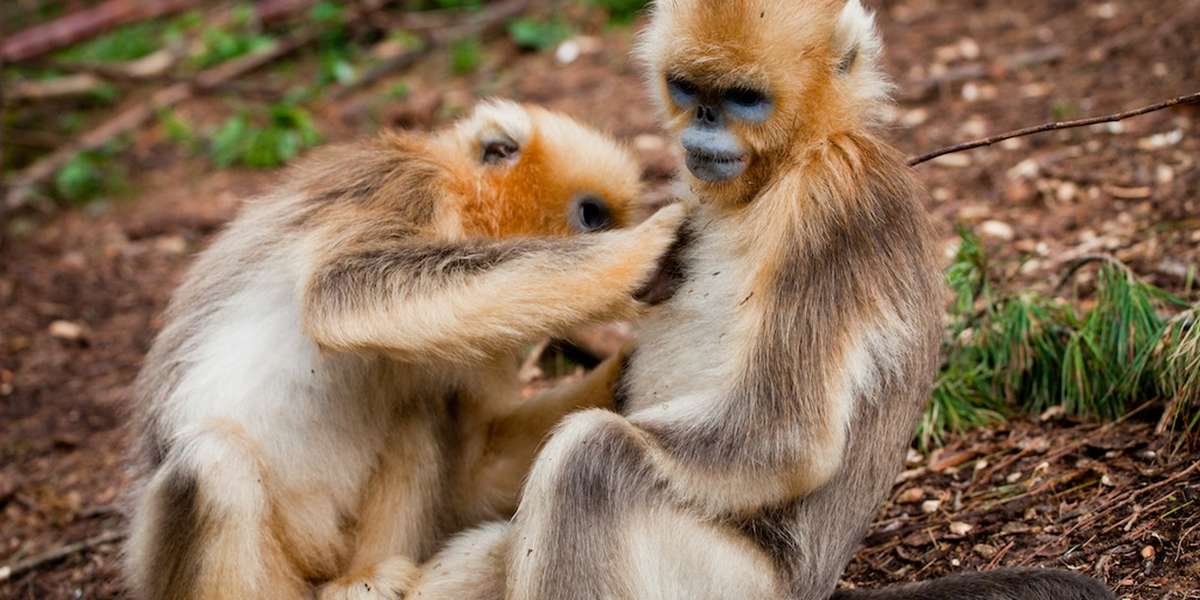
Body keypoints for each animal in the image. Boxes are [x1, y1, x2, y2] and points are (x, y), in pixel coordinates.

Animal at [122, 99, 687, 600]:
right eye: (593, 216)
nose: (617, 231)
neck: (461, 198)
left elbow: (475, 471)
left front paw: (626, 373)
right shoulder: (410, 185)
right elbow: (340, 295)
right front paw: (644, 250)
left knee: (420, 406)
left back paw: (364, 578)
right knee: (210, 461)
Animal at [403, 2, 1114, 600]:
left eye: (743, 99)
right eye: (688, 89)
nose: (704, 122)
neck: (781, 170)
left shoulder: (833, 200)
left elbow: (785, 435)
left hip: (738, 584)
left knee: (592, 460)